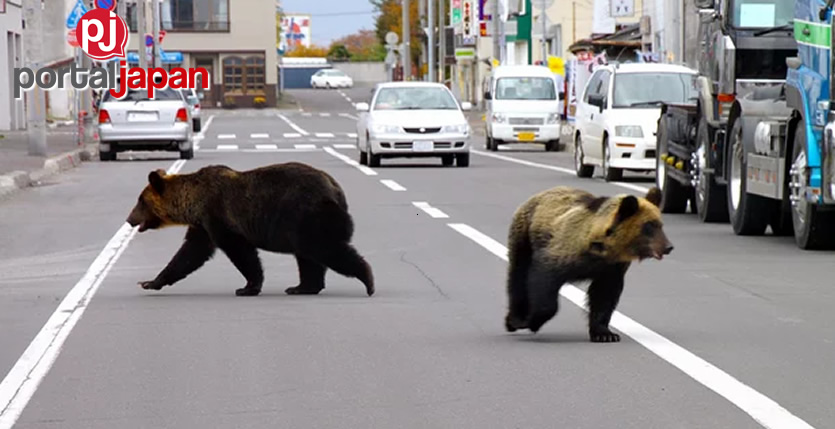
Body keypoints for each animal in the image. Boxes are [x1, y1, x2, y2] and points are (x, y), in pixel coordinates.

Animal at [125, 162, 374, 297]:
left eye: (141, 201)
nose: (129, 219)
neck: (193, 203)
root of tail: (336, 189)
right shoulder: (203, 225)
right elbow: (189, 254)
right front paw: (150, 282)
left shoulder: (218, 215)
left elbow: (240, 251)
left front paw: (247, 287)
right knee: (308, 257)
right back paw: (301, 287)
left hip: (307, 215)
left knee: (324, 249)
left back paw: (368, 280)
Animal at [504, 186, 673, 342]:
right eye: (649, 225)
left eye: (660, 224)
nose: (668, 247)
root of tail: (539, 194)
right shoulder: (561, 252)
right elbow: (543, 281)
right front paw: (531, 321)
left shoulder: (611, 269)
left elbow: (604, 296)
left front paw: (605, 334)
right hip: (524, 236)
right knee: (518, 275)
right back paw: (514, 319)